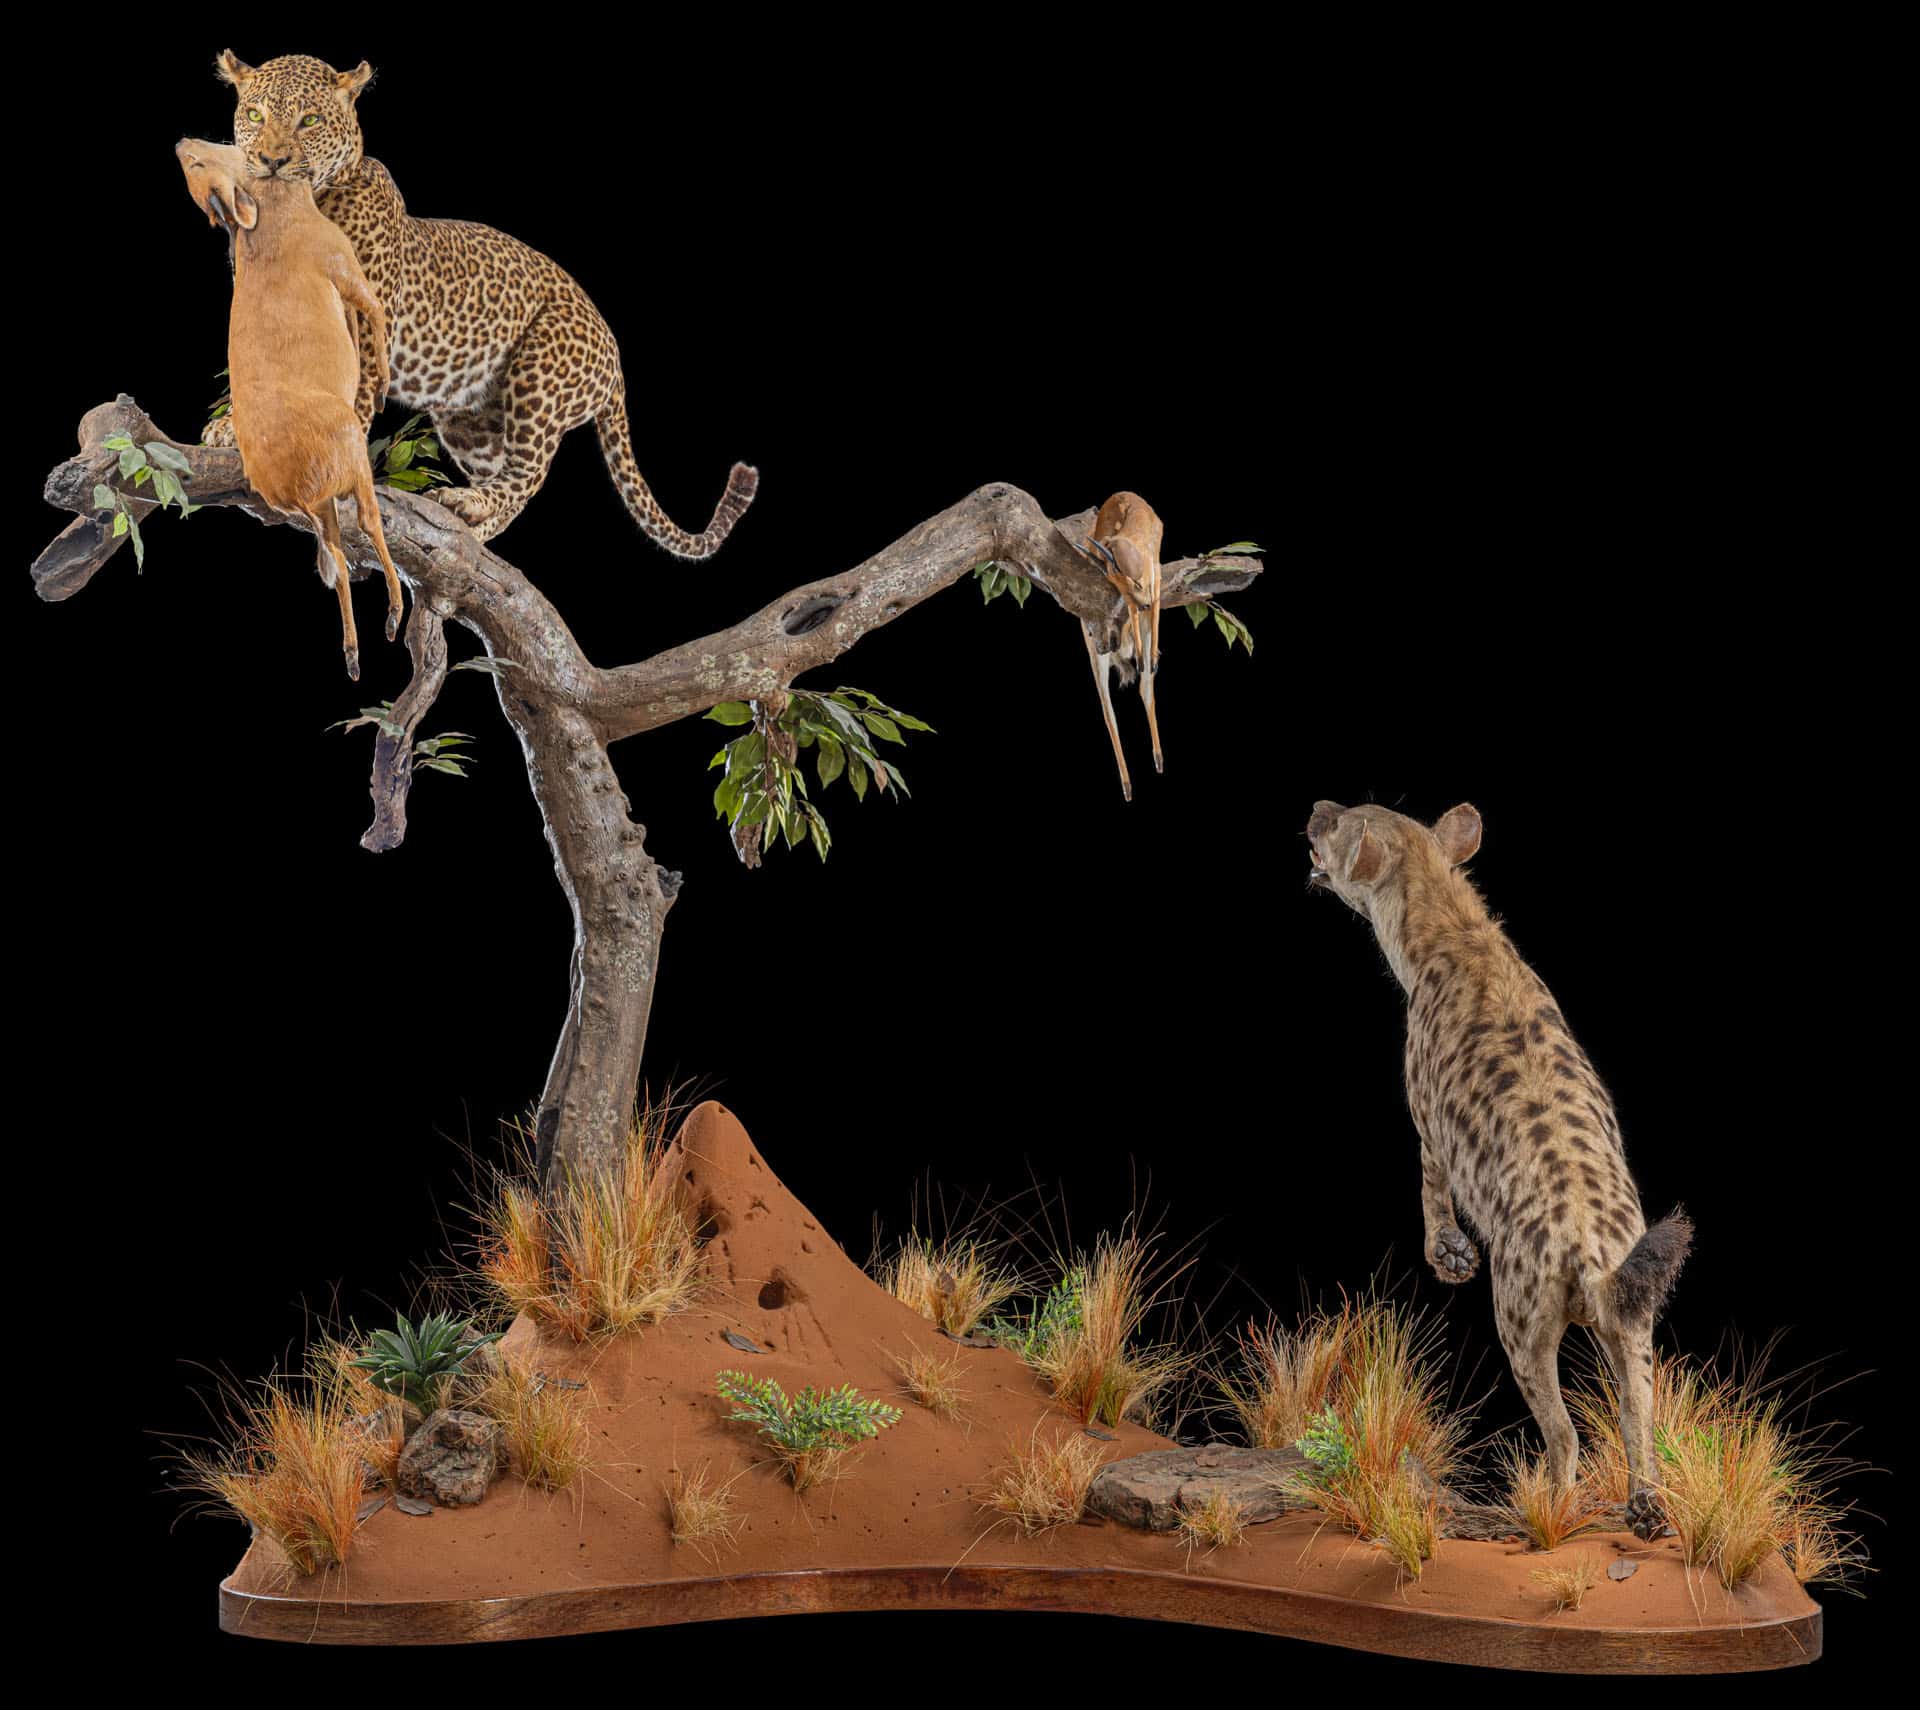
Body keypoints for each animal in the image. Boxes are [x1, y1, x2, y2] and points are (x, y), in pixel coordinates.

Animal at [204, 51, 756, 555]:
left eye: (310, 120)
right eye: (254, 115)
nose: (272, 160)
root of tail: (612, 349)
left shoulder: (367, 316)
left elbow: (354, 393)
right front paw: (233, 427)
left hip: (540, 371)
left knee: (529, 473)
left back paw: (472, 504)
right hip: (471, 421)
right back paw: (474, 528)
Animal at [1305, 798, 1692, 1540]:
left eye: (1340, 824)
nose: (1316, 808)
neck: (1448, 935)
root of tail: (1589, 1251)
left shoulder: (1428, 1114)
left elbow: (1430, 1187)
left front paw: (1448, 1256)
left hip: (1519, 1317)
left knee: (1565, 1433)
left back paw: (1540, 1516)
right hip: (1634, 1321)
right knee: (1639, 1414)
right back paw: (1647, 1508)